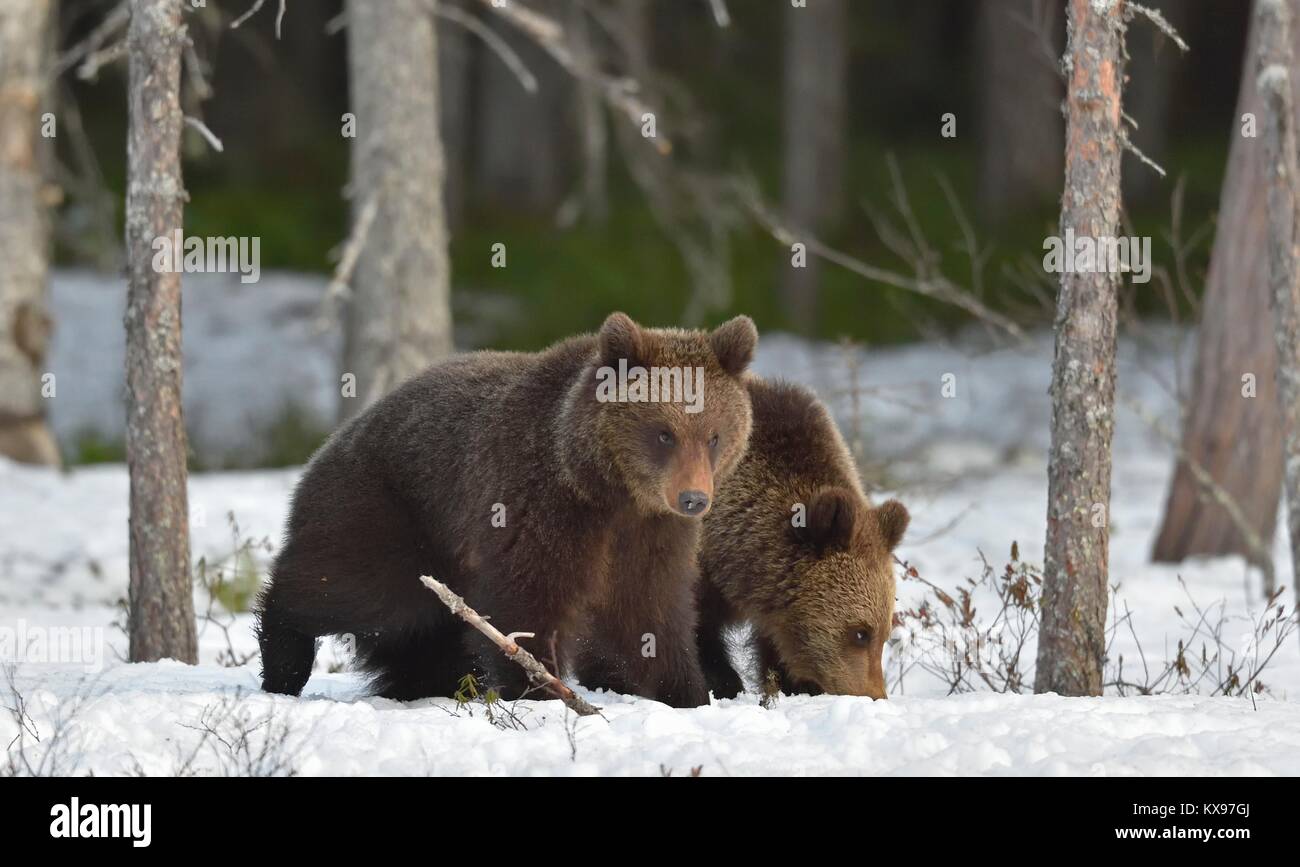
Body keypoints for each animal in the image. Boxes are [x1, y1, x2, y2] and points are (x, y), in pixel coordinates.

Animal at [254, 312, 758, 708]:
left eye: (714, 435)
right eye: (664, 433)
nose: (693, 498)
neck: (607, 489)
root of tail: (334, 439)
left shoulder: (650, 533)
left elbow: (652, 612)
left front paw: (688, 692)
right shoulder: (536, 504)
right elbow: (527, 600)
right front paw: (541, 688)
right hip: (391, 512)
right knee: (358, 591)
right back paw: (283, 663)